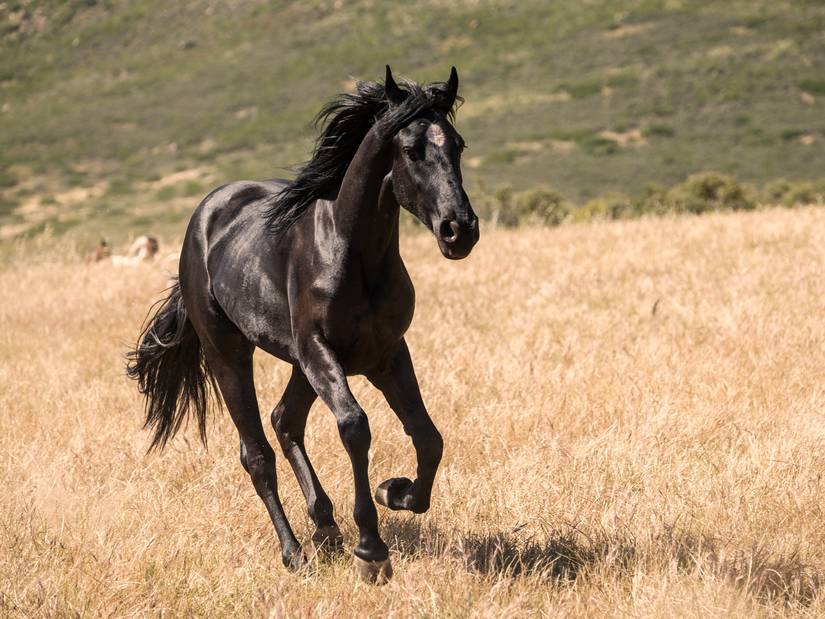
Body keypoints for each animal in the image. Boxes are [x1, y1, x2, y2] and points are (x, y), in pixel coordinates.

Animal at [127, 66, 479, 584]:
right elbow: (355, 427)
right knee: (256, 452)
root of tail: (206, 216)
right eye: (411, 149)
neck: (353, 256)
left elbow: (428, 437)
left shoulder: (387, 354)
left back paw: (326, 528)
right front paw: (372, 549)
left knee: (284, 420)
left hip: (299, 363)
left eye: (457, 145)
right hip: (230, 353)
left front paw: (395, 491)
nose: (460, 231)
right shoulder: (320, 350)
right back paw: (295, 551)